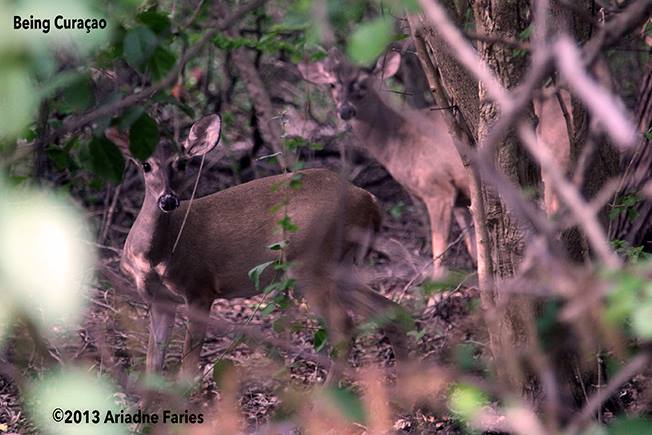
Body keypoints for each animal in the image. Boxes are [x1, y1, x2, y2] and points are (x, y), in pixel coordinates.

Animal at [107, 114, 409, 381]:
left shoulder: (199, 287)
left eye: (181, 164)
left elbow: (188, 367)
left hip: (310, 259)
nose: (168, 200)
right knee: (392, 310)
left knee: (344, 328)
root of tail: (369, 200)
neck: (156, 256)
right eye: (146, 165)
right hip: (340, 265)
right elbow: (152, 365)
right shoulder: (159, 299)